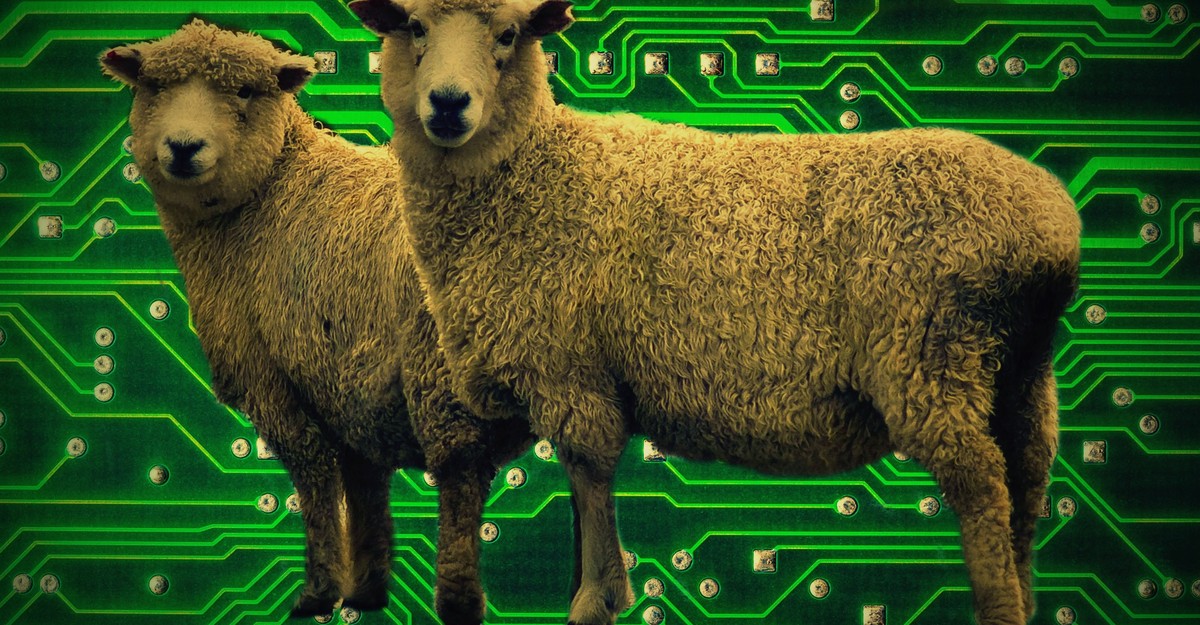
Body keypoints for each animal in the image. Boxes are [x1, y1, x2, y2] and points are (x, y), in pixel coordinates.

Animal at [98, 20, 534, 623]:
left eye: (245, 91)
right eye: (154, 87)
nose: (183, 147)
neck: (272, 192)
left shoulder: (277, 378)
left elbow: (314, 478)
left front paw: (320, 591)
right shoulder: (347, 390)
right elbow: (365, 485)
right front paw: (368, 590)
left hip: (441, 376)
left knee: (459, 473)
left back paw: (458, 599)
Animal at [353, 1, 1084, 624]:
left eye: (508, 35)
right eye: (413, 25)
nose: (449, 104)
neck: (531, 170)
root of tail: (1050, 226)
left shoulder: (569, 366)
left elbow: (588, 469)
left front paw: (595, 597)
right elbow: (580, 481)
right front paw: (593, 585)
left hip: (930, 355)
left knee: (981, 483)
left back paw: (1001, 606)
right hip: (1017, 371)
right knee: (1026, 475)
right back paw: (1027, 591)